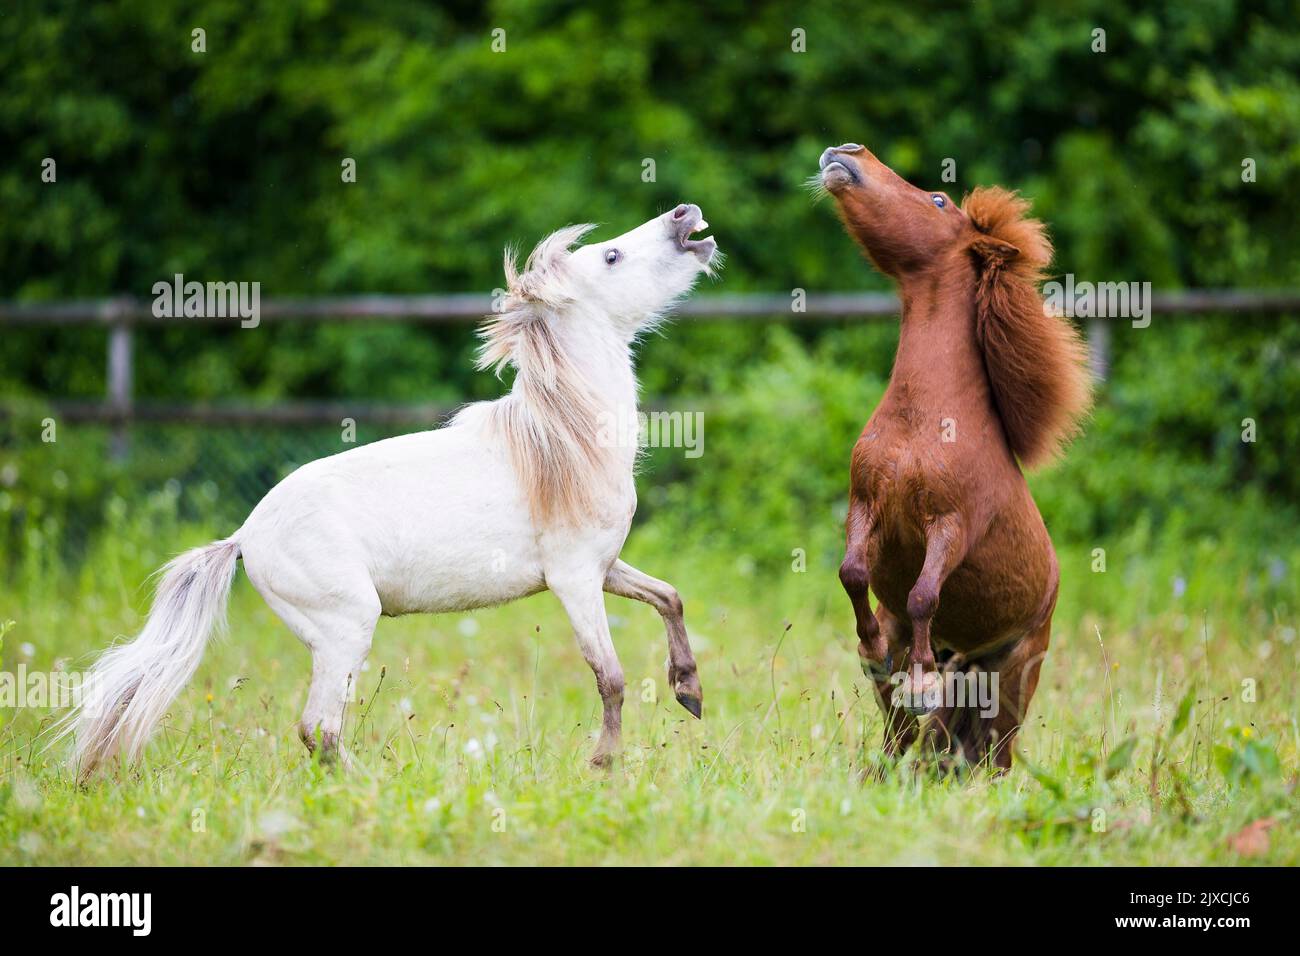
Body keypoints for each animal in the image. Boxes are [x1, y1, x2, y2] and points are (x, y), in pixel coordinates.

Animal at [61, 204, 718, 778]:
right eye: (611, 255)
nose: (686, 216)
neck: (564, 445)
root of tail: (244, 537)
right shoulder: (574, 578)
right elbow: (610, 677)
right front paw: (603, 764)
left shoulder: (605, 566)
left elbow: (670, 597)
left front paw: (689, 692)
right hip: (345, 629)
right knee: (319, 728)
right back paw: (374, 787)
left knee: (318, 731)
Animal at [817, 143, 1091, 772]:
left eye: (939, 200)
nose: (845, 152)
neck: (923, 421)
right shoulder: (866, 506)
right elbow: (853, 573)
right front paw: (873, 648)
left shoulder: (951, 524)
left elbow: (923, 595)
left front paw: (920, 681)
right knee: (905, 732)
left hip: (1014, 677)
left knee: (993, 750)